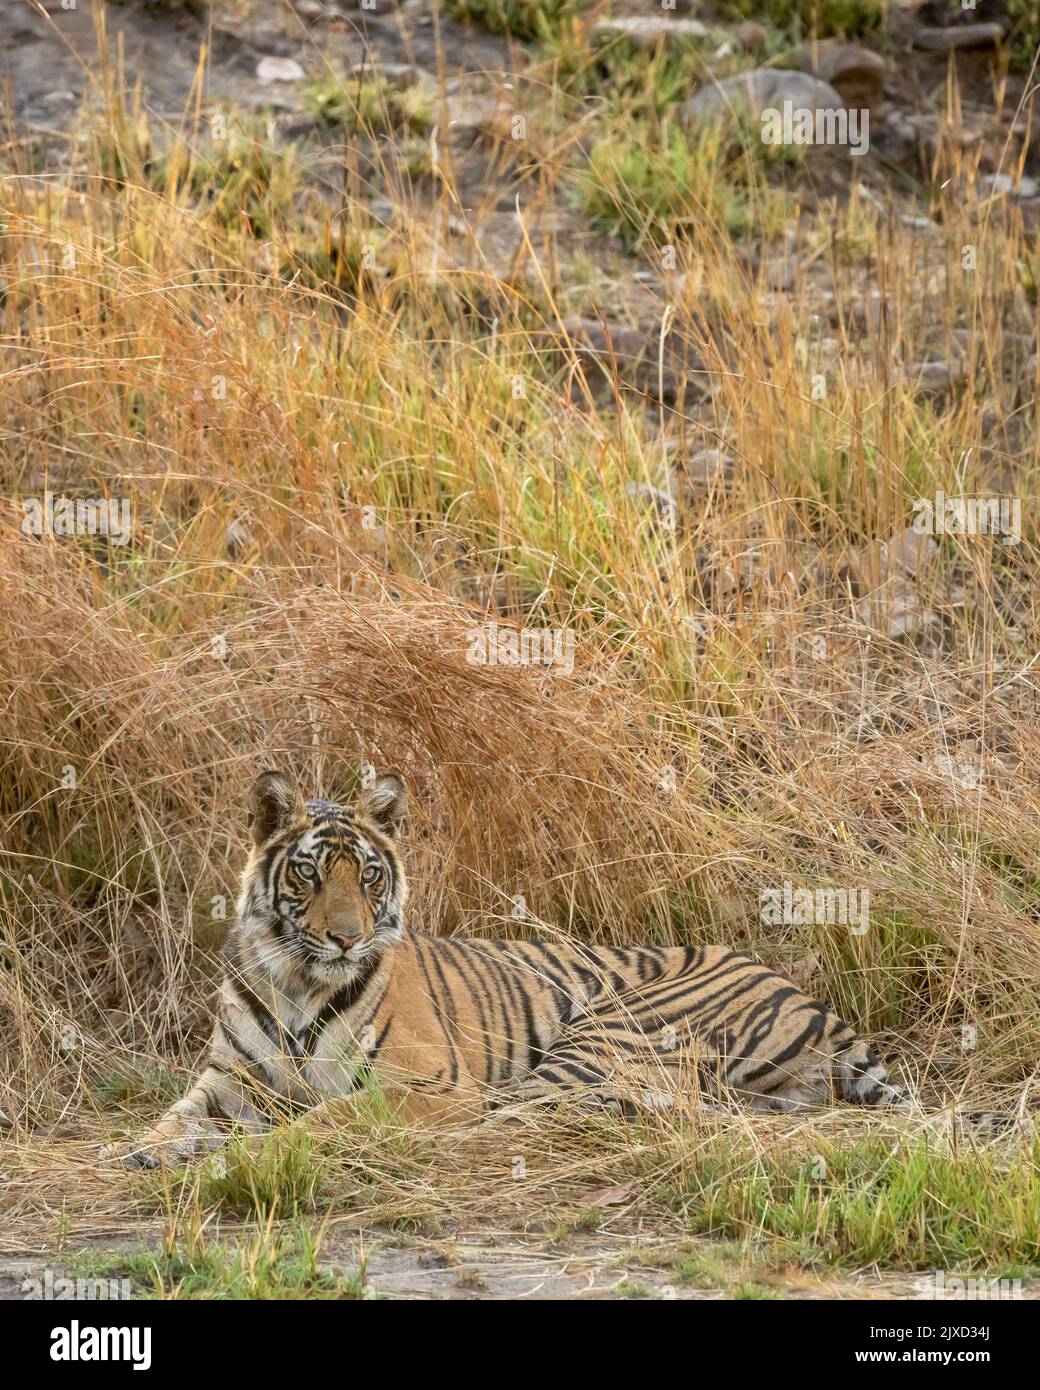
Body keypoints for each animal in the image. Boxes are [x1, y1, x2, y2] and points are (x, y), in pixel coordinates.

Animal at [111, 768, 902, 1168]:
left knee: (530, 1117)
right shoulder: (225, 1080)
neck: (302, 983)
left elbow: (337, 1112)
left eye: (367, 876)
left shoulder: (434, 1085)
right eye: (308, 874)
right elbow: (172, 1115)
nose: (344, 939)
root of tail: (810, 999)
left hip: (608, 1034)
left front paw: (271, 1143)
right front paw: (146, 1150)